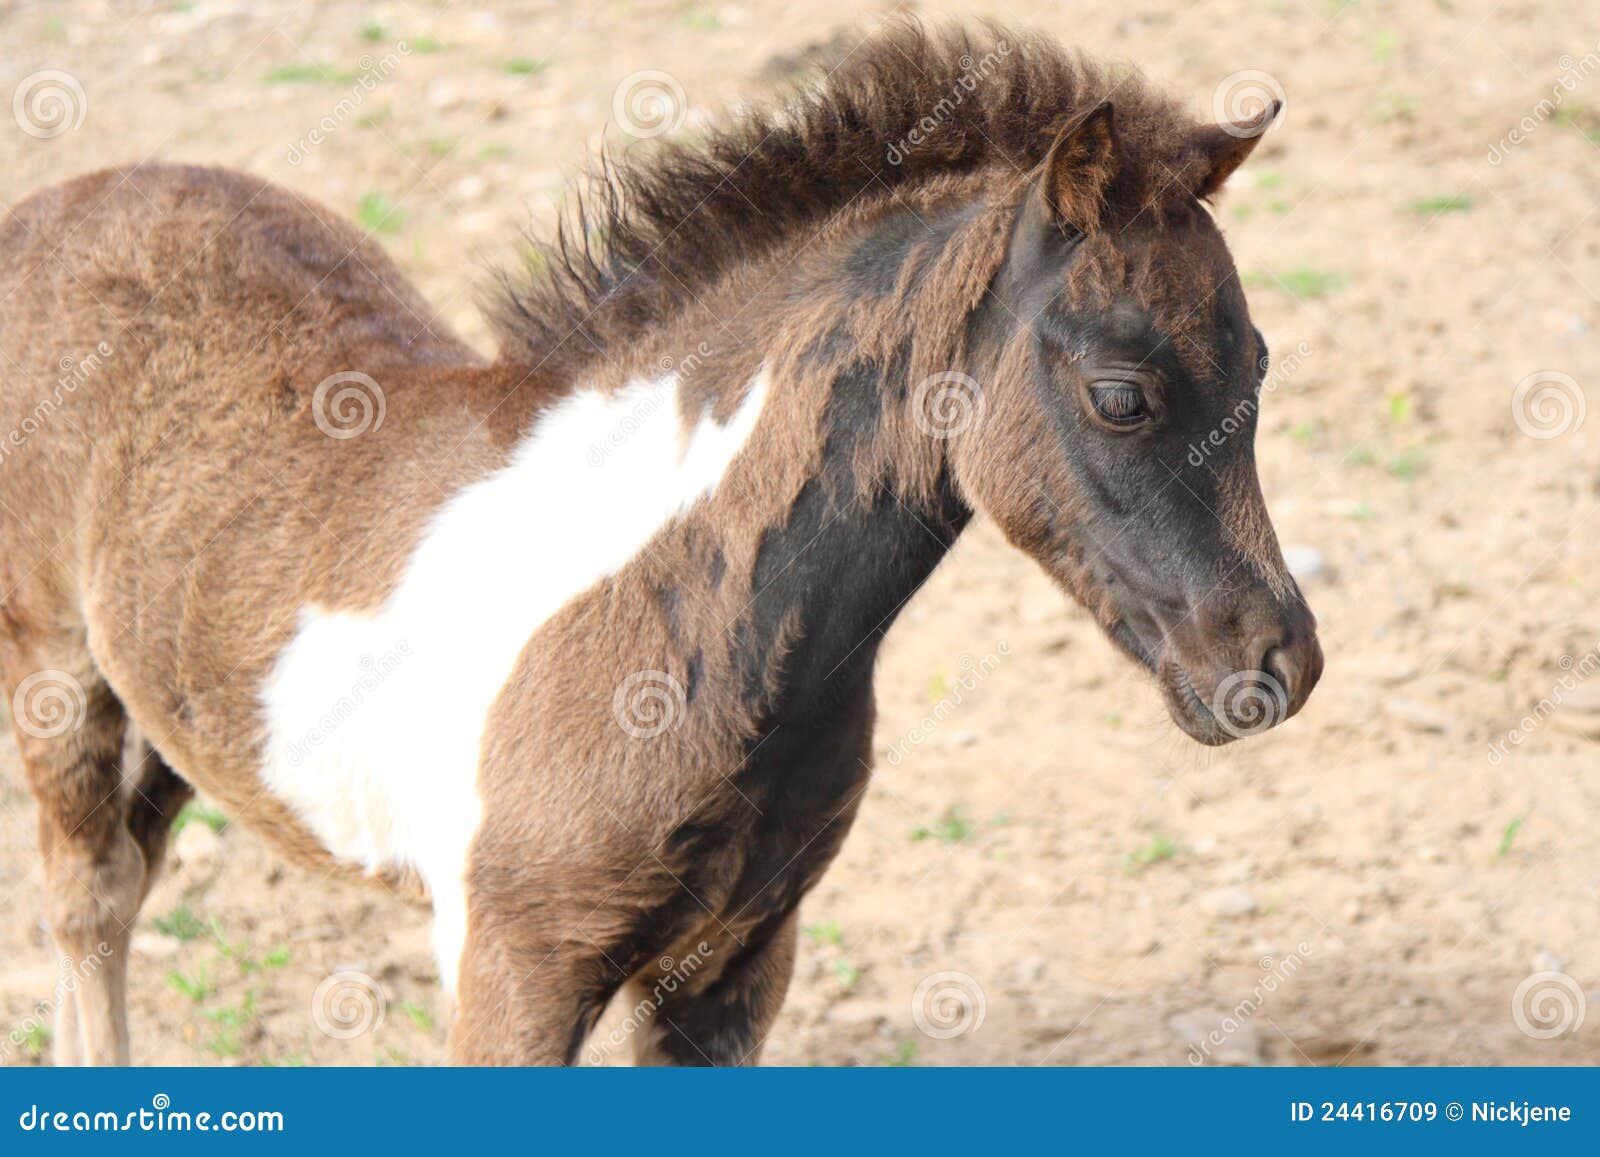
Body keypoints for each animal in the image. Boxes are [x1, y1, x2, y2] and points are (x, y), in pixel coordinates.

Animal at [0, 22, 1321, 1065]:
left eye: (1260, 363)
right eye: (1120, 395)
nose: (1276, 665)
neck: (669, 602)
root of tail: (57, 204)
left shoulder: (735, 966)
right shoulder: (512, 970)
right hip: (56, 668)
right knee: (88, 902)